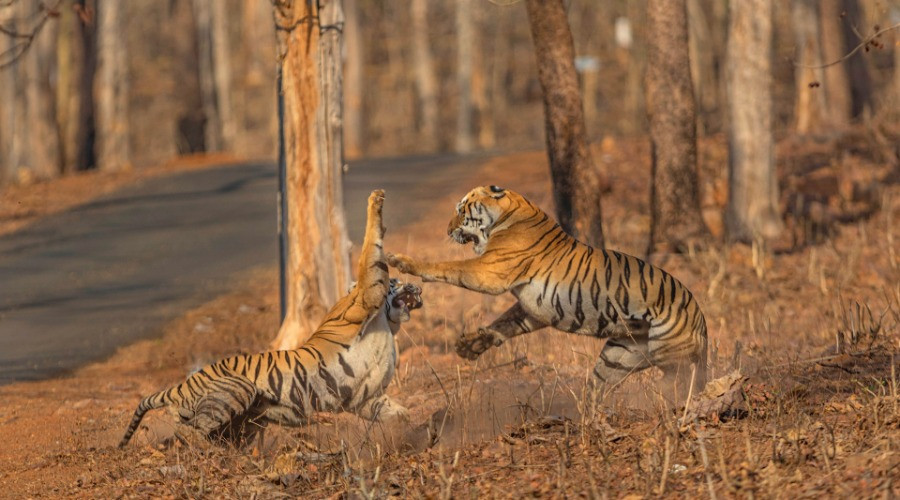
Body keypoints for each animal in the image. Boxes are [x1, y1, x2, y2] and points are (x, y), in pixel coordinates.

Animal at [119, 189, 423, 447]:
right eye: (396, 282)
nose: (417, 288)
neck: (388, 324)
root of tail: (181, 384)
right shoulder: (367, 295)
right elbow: (372, 252)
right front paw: (376, 201)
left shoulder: (366, 399)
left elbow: (397, 413)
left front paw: (411, 432)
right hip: (236, 390)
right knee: (189, 431)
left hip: (244, 421)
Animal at [387, 185, 708, 396]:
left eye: (460, 210)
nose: (447, 230)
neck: (510, 214)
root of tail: (701, 316)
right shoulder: (532, 305)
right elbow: (507, 323)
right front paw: (473, 345)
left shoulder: (489, 272)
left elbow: (446, 266)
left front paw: (401, 260)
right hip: (618, 357)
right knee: (599, 389)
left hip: (669, 353)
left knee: (681, 381)